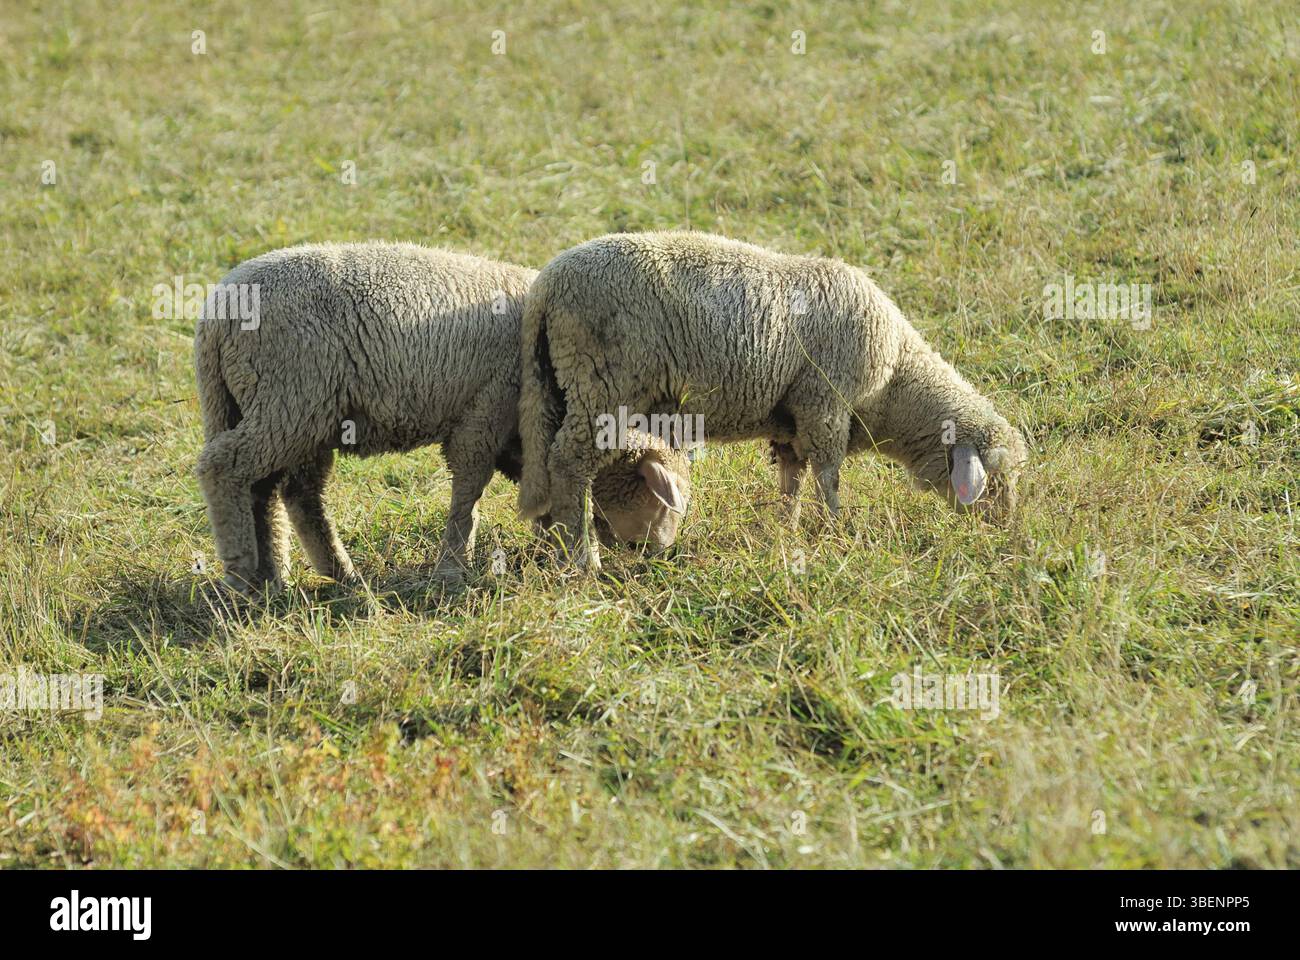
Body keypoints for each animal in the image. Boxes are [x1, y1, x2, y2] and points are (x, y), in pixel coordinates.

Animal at [194, 241, 692, 595]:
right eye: (653, 494)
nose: (657, 555)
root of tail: (216, 317)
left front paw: (547, 545)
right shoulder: (485, 409)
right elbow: (470, 486)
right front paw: (455, 566)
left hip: (289, 412)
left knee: (284, 493)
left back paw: (304, 577)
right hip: (290, 397)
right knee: (226, 468)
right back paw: (243, 576)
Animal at [518, 231, 1027, 569]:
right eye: (995, 479)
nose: (1010, 530)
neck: (895, 380)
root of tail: (546, 286)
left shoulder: (791, 422)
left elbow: (792, 479)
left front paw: (787, 528)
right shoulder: (825, 405)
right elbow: (829, 476)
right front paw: (835, 529)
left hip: (564, 386)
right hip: (602, 384)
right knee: (569, 463)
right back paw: (582, 557)